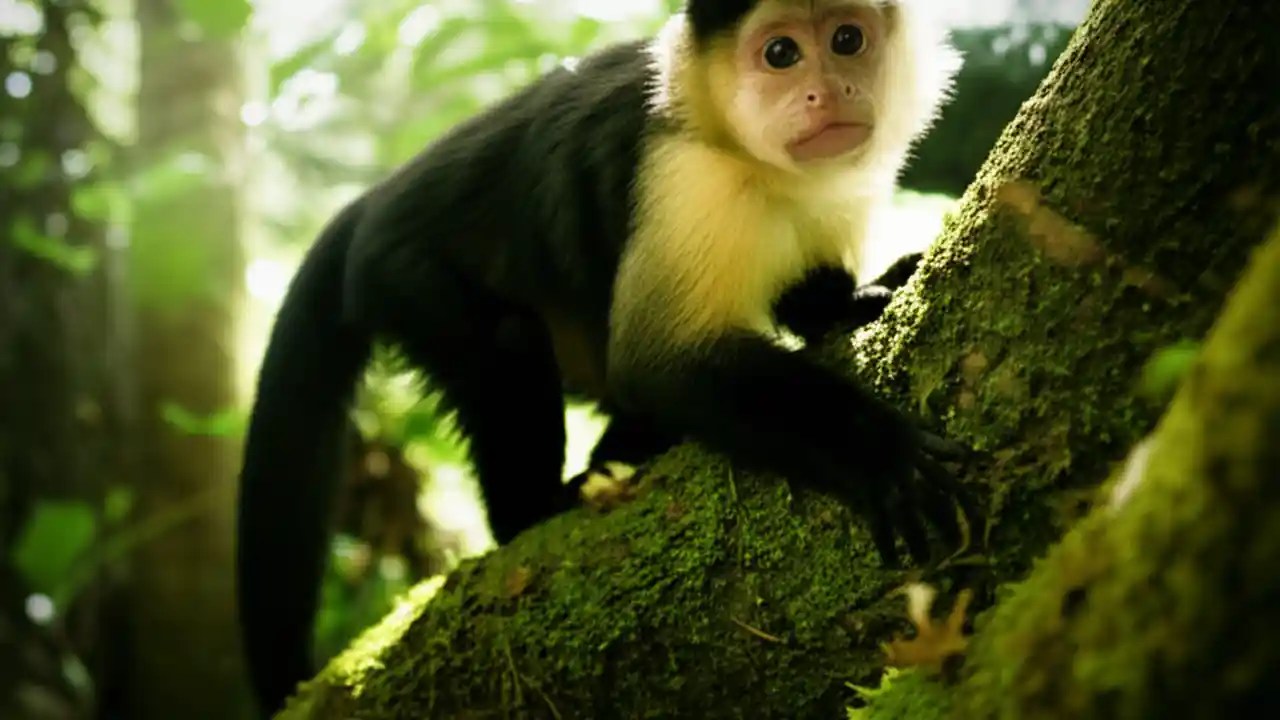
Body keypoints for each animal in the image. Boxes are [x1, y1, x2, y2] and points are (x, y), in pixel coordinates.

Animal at [236, 0, 964, 713]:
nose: (828, 91)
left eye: (847, 40)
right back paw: (536, 509)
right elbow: (659, 366)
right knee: (508, 341)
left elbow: (808, 300)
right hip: (403, 273)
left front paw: (861, 296)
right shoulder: (683, 174)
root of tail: (372, 203)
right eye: (780, 53)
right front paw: (879, 454)